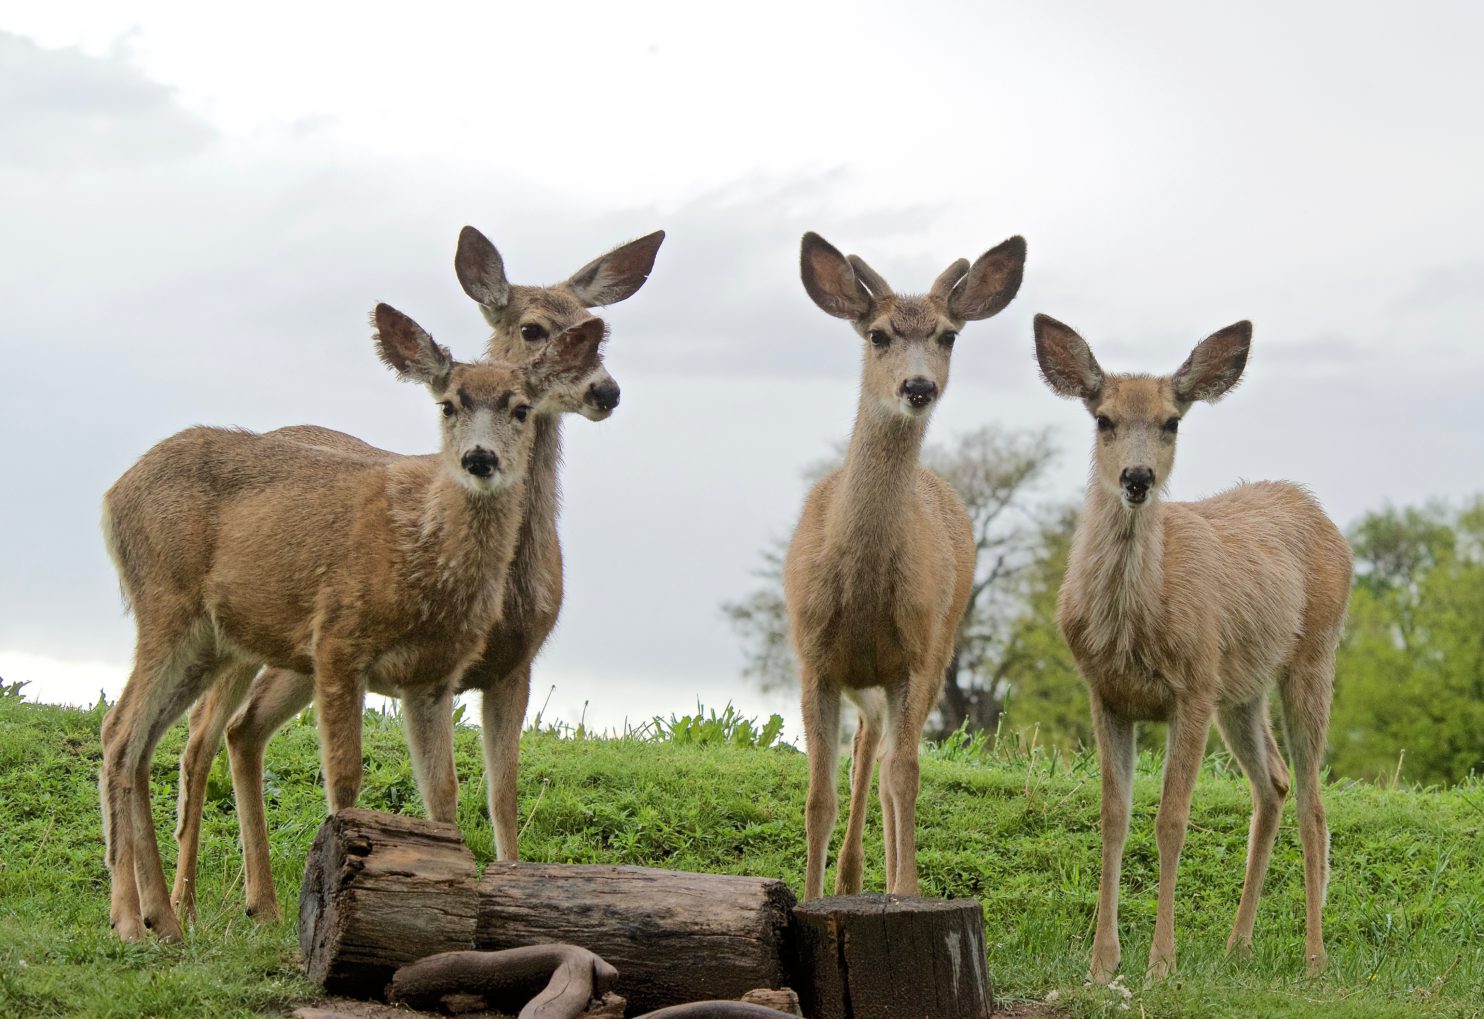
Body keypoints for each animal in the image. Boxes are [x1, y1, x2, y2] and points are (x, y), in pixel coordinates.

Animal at [99, 301, 604, 942]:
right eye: (448, 404)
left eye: (520, 408)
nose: (480, 459)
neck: (422, 553)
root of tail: (113, 494)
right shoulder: (339, 639)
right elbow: (344, 778)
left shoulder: (432, 679)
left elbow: (444, 795)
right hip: (166, 604)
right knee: (122, 731)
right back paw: (129, 919)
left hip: (209, 641)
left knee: (147, 740)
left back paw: (164, 918)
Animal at [166, 227, 664, 924]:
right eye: (533, 328)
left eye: (599, 329)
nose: (605, 392)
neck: (507, 586)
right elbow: (447, 796)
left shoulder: (513, 664)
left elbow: (499, 793)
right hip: (243, 633)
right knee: (199, 735)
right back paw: (183, 902)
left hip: (296, 659)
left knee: (244, 729)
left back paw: (260, 904)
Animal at [786, 230, 1026, 900]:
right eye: (878, 334)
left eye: (948, 335)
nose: (918, 388)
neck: (864, 587)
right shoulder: (814, 656)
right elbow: (818, 795)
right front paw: (809, 898)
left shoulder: (916, 655)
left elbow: (907, 776)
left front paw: (908, 891)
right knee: (867, 748)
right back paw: (849, 882)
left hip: (939, 646)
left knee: (889, 756)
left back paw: (885, 884)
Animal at [1032, 313, 1352, 982]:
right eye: (1103, 419)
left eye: (1171, 421)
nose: (1137, 479)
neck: (1135, 623)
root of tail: (1319, 511)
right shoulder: (1106, 694)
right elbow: (1114, 816)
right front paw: (1102, 962)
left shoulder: (1194, 686)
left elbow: (1171, 818)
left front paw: (1160, 962)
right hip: (1243, 690)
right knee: (1274, 782)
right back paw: (1238, 945)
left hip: (1312, 657)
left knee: (1313, 800)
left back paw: (1313, 958)